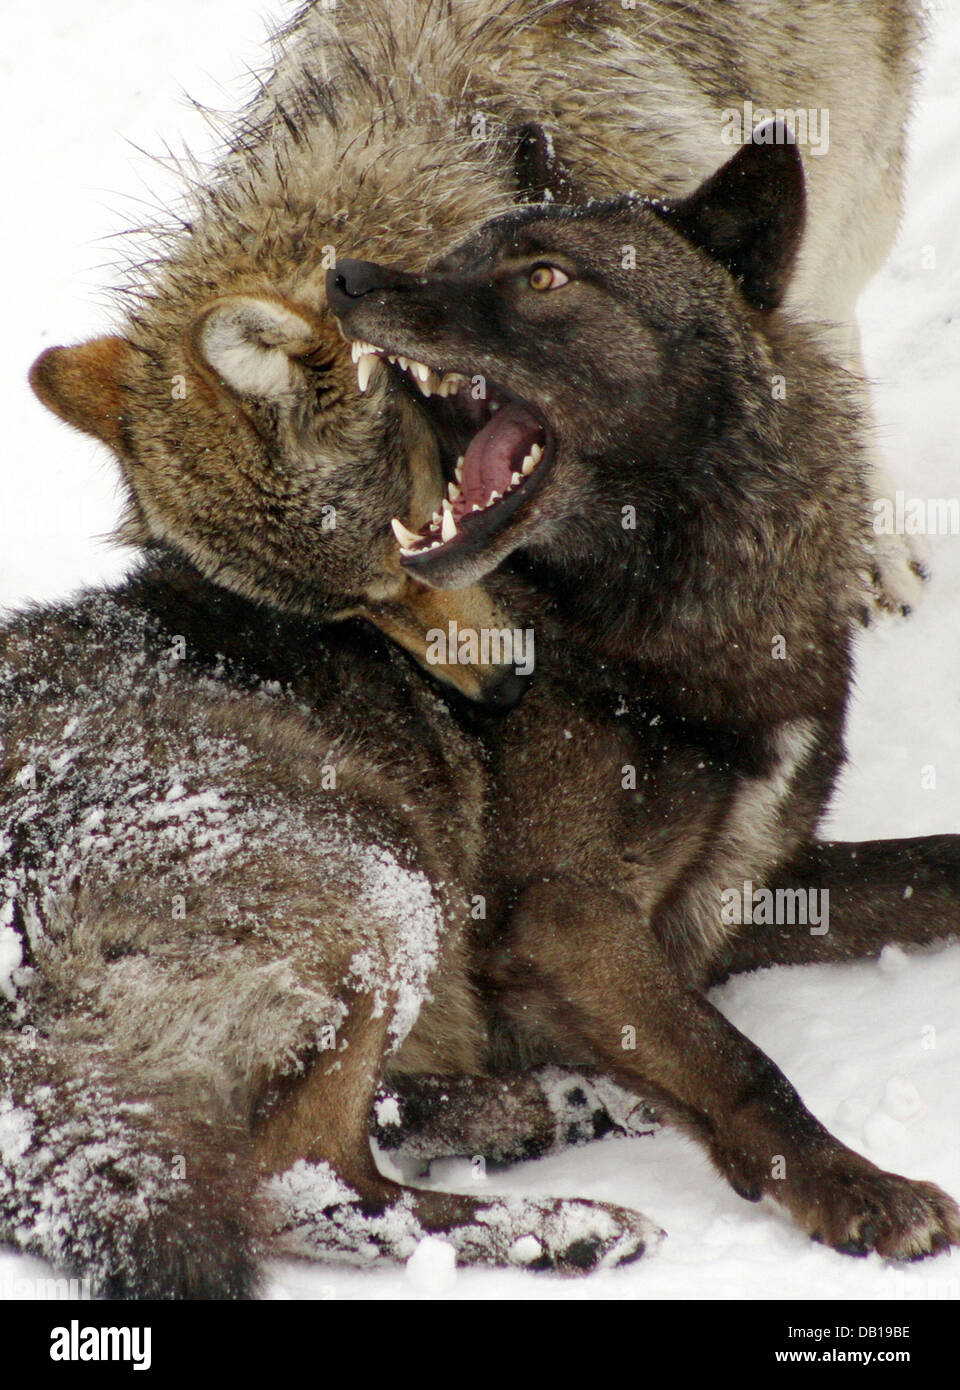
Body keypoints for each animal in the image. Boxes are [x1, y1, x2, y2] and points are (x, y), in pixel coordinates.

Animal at [328, 130, 960, 1259]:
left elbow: (936, 863)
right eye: (452, 258)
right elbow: (739, 1063)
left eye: (542, 278)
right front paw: (859, 1189)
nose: (344, 277)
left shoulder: (740, 891)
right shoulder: (564, 918)